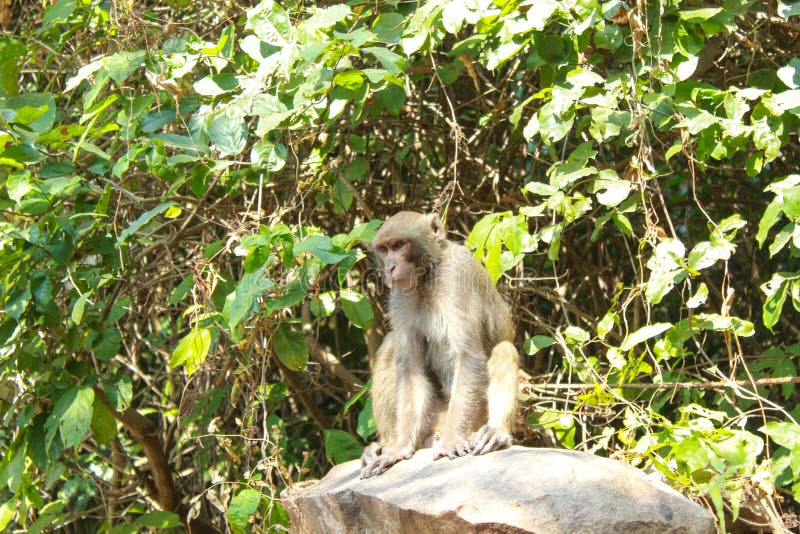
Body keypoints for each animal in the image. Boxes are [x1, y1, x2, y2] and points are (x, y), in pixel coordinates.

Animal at [360, 211, 519, 478]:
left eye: (399, 245)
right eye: (383, 249)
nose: (390, 267)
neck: (428, 275)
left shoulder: (457, 275)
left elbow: (469, 357)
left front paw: (452, 441)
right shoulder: (400, 296)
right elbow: (410, 368)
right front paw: (399, 447)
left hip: (473, 418)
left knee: (504, 349)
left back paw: (495, 432)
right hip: (430, 417)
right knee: (391, 346)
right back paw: (386, 443)